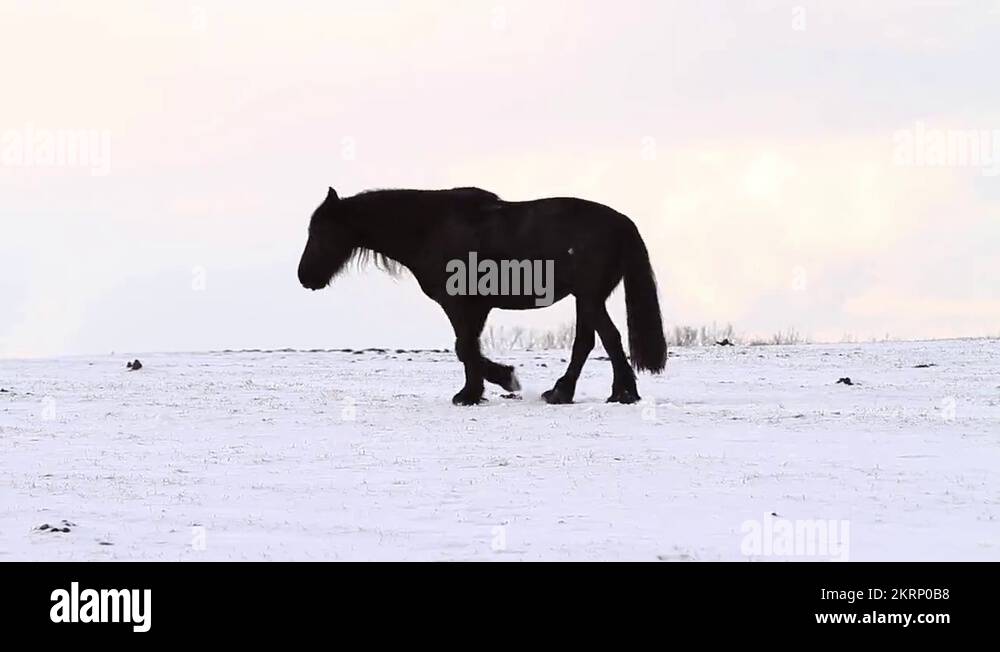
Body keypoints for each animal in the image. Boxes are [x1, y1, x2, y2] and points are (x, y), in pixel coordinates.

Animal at [298, 186, 667, 405]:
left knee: (607, 338)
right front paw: (484, 386)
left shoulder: (460, 303)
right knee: (591, 342)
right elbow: (469, 347)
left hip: (588, 297)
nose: (305, 277)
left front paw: (488, 386)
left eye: (319, 231)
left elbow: (464, 347)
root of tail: (622, 223)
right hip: (586, 299)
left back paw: (619, 393)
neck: (431, 228)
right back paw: (573, 392)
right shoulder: (476, 307)